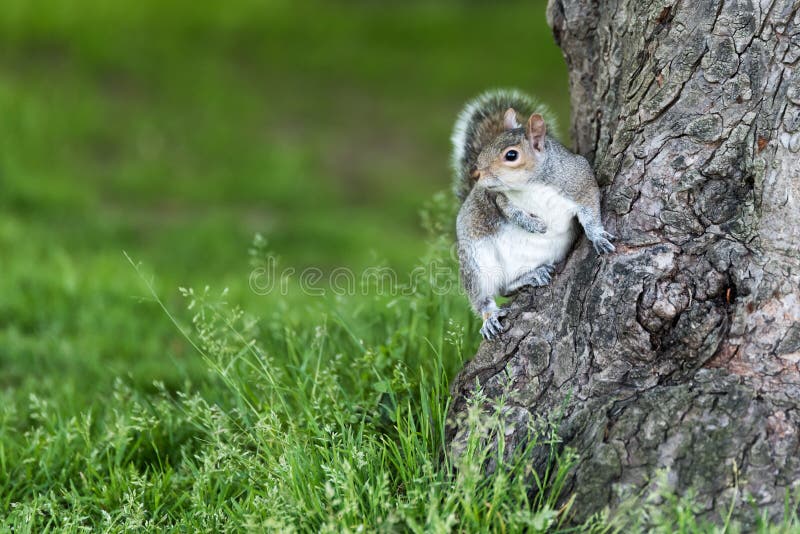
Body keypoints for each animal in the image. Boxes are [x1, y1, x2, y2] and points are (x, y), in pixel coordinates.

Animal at [452, 89, 615, 340]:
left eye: (511, 155)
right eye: (487, 145)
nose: (476, 174)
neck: (530, 185)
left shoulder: (581, 182)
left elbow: (589, 212)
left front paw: (597, 236)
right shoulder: (500, 198)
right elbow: (509, 211)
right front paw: (533, 225)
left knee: (507, 287)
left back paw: (533, 274)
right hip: (477, 262)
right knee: (486, 295)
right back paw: (490, 316)